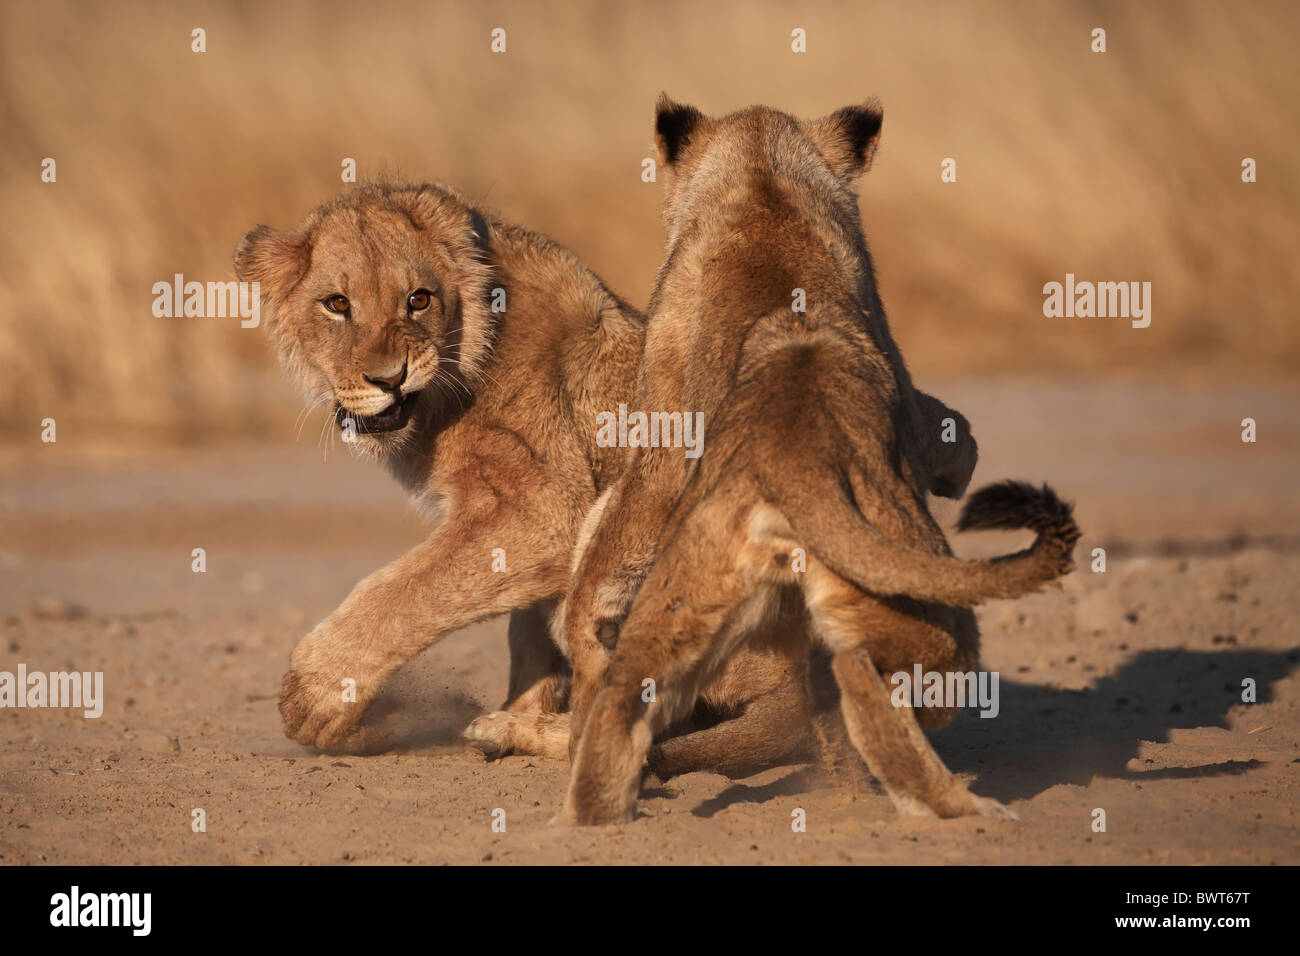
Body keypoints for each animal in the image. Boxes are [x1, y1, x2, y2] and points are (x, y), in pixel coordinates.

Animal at [233, 181, 981, 778]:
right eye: (336, 305)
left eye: (418, 299)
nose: (388, 377)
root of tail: (807, 685)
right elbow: (519, 634)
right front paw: (525, 697)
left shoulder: (543, 511)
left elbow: (405, 592)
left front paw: (317, 698)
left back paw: (515, 735)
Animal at [558, 98, 1079, 825]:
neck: (763, 187)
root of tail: (796, 466)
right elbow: (947, 427)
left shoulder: (663, 424)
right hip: (916, 607)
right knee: (875, 686)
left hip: (695, 600)